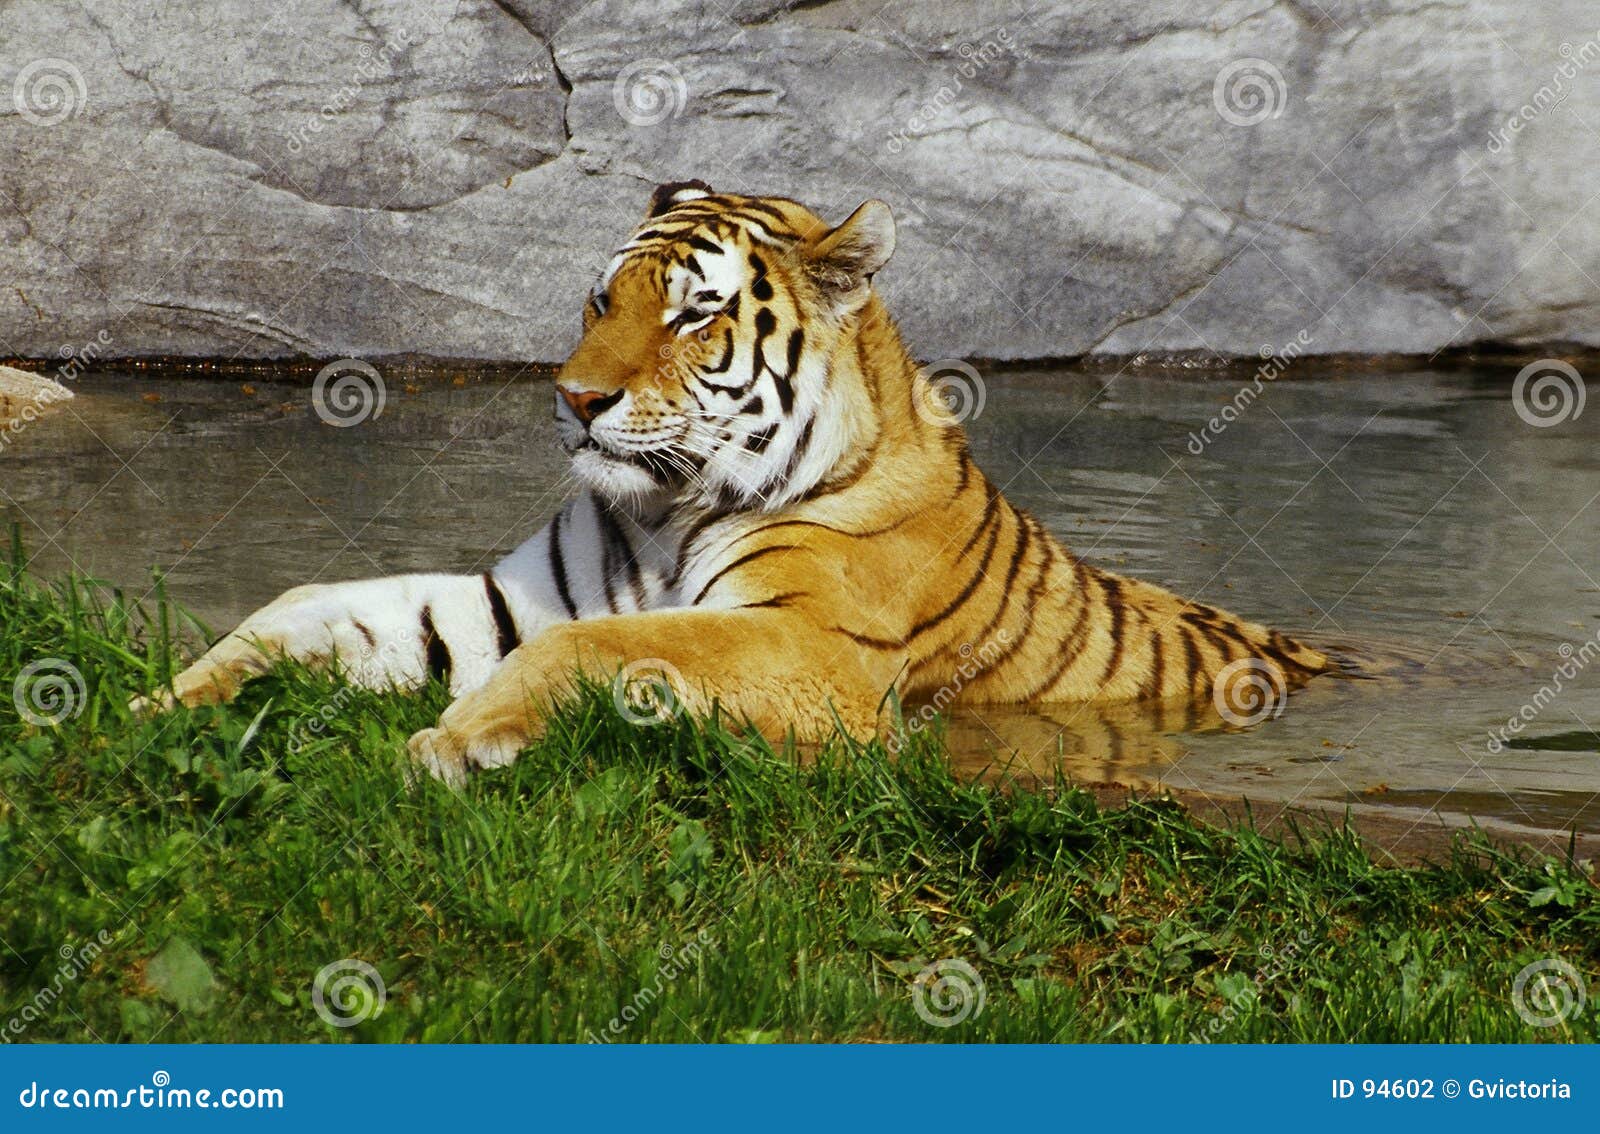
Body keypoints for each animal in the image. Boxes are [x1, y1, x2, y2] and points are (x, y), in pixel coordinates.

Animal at [138, 181, 1331, 785]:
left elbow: (609, 646)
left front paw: (457, 738)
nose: (574, 398)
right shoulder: (510, 598)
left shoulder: (819, 654)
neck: (669, 507)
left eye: (691, 315)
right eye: (601, 299)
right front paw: (153, 704)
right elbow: (306, 602)